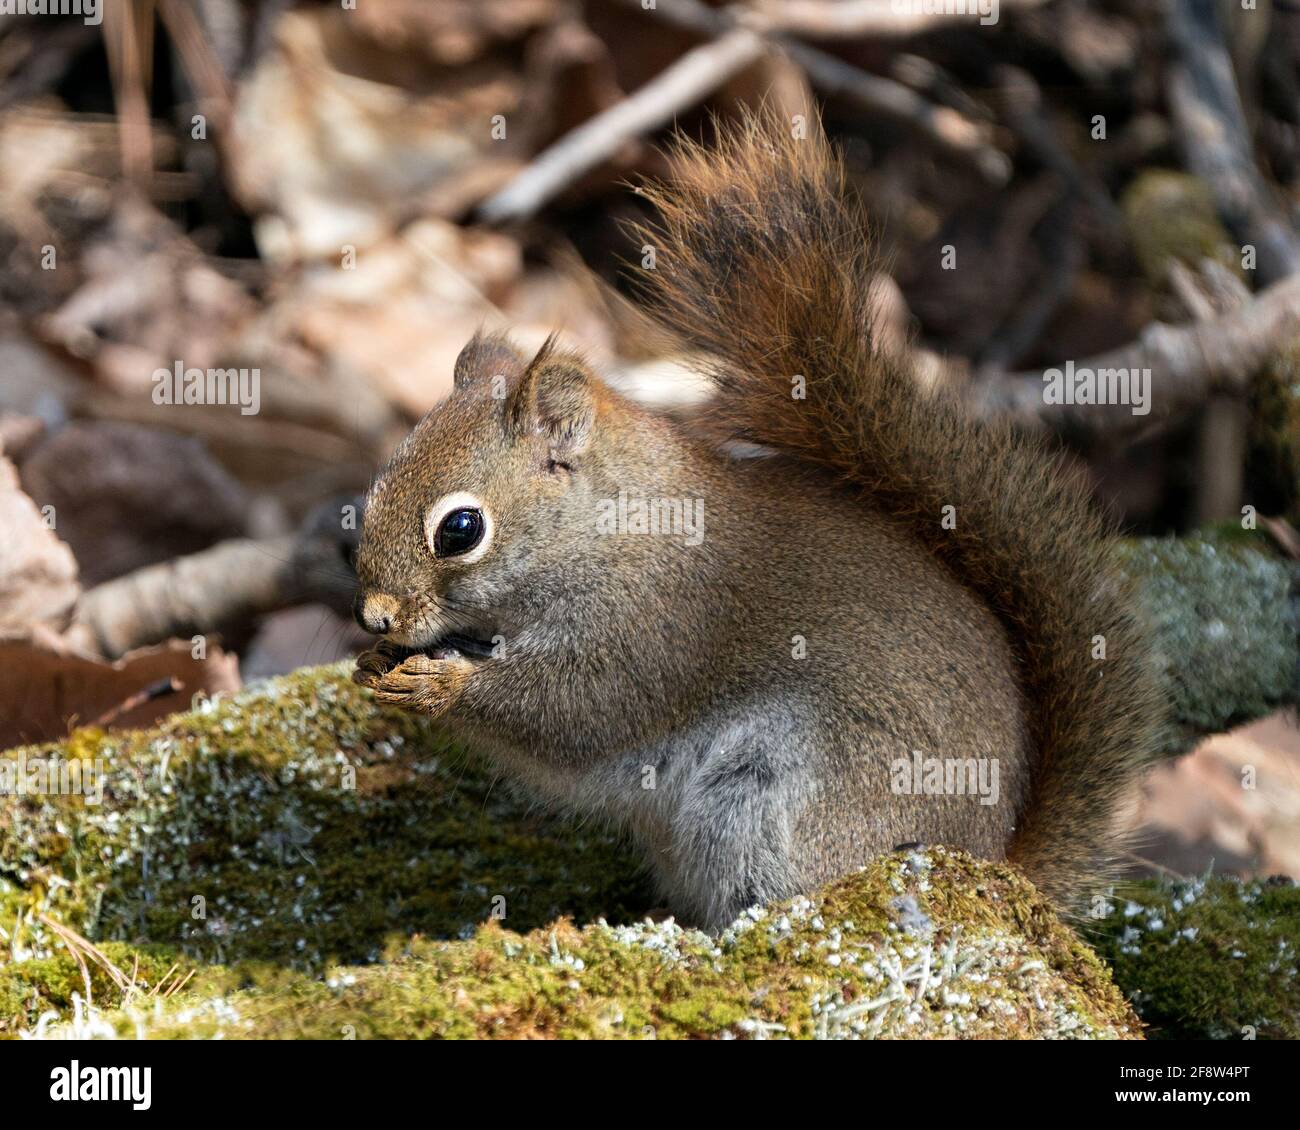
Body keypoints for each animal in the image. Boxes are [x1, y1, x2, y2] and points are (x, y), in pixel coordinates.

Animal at [351, 110, 1163, 931]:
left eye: (460, 530)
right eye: (379, 483)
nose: (375, 615)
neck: (612, 531)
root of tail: (998, 868)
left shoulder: (656, 627)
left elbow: (572, 712)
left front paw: (438, 687)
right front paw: (374, 662)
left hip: (783, 800)